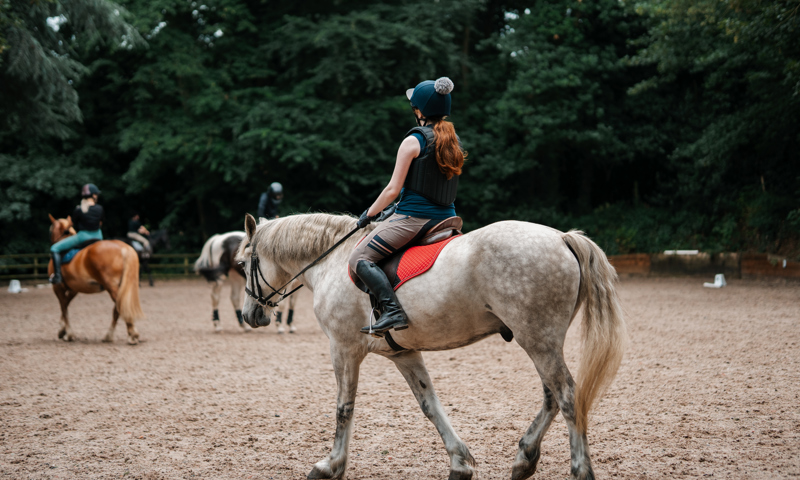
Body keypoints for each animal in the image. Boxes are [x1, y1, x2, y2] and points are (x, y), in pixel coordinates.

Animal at [47, 215, 144, 345]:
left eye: (50, 230)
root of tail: (124, 248)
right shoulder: (74, 289)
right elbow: (66, 304)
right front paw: (62, 330)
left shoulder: (57, 287)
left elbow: (64, 307)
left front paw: (68, 334)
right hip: (120, 286)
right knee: (117, 309)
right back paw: (109, 336)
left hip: (111, 287)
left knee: (119, 306)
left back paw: (131, 335)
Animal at [237, 213, 627, 480]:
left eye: (242, 265)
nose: (250, 315)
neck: (330, 262)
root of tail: (562, 238)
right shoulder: (403, 353)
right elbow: (430, 405)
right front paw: (459, 463)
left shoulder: (343, 348)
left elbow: (344, 409)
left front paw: (330, 465)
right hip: (541, 340)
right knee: (551, 396)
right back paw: (524, 458)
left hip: (538, 340)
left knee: (566, 395)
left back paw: (579, 469)